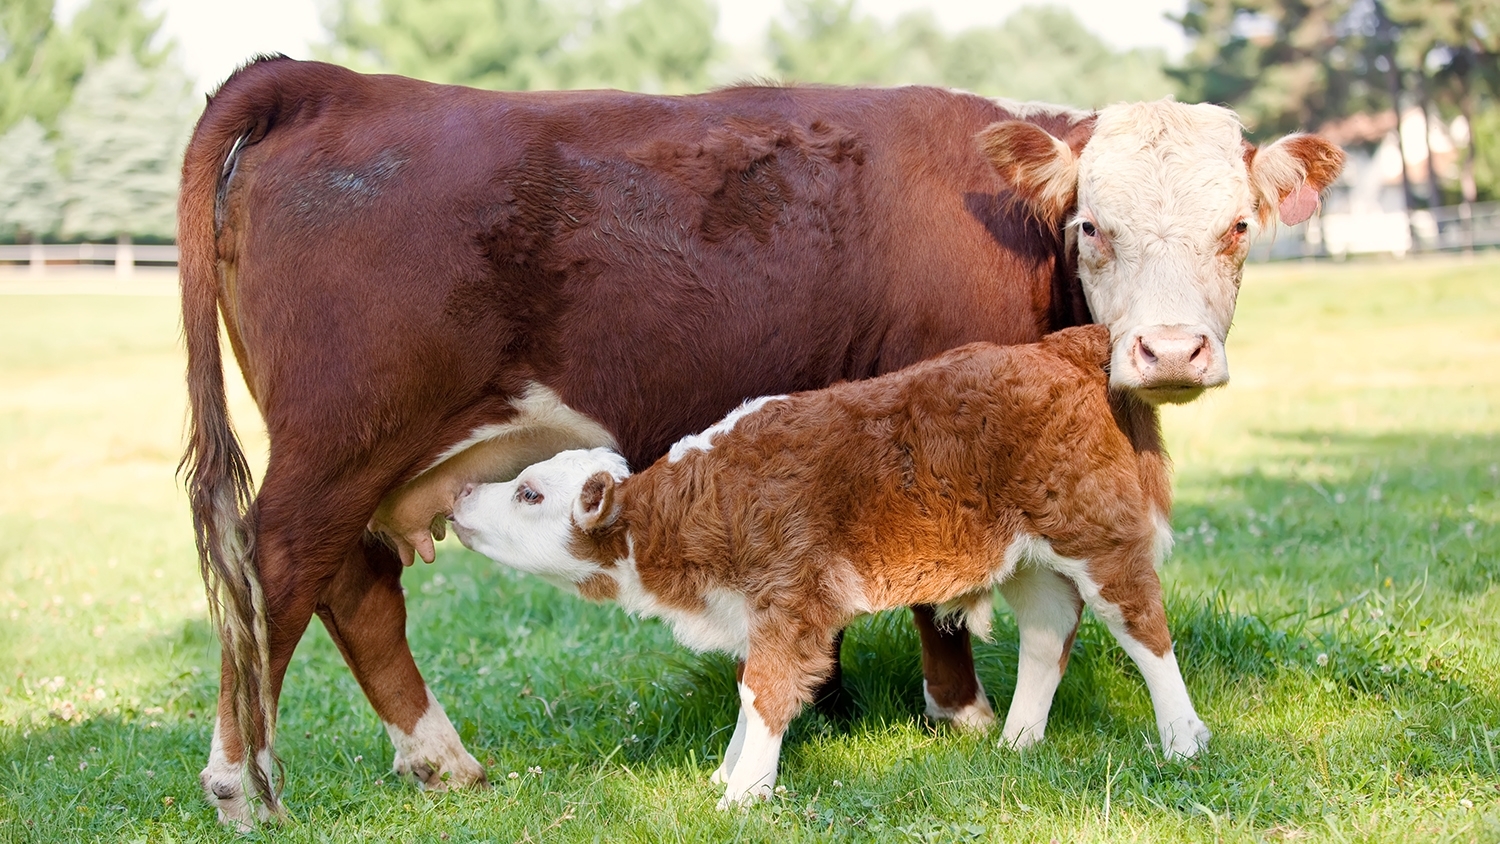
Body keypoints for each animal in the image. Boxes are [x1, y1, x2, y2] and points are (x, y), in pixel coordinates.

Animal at [450, 325, 1205, 808]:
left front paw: (743, 797)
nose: (458, 494)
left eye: (528, 492)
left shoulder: (790, 601)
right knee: (1049, 634)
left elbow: (765, 692)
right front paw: (727, 776)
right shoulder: (757, 613)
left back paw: (1184, 741)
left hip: (1097, 532)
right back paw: (1018, 742)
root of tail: (1058, 347)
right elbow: (749, 694)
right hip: (1024, 557)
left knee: (1143, 626)